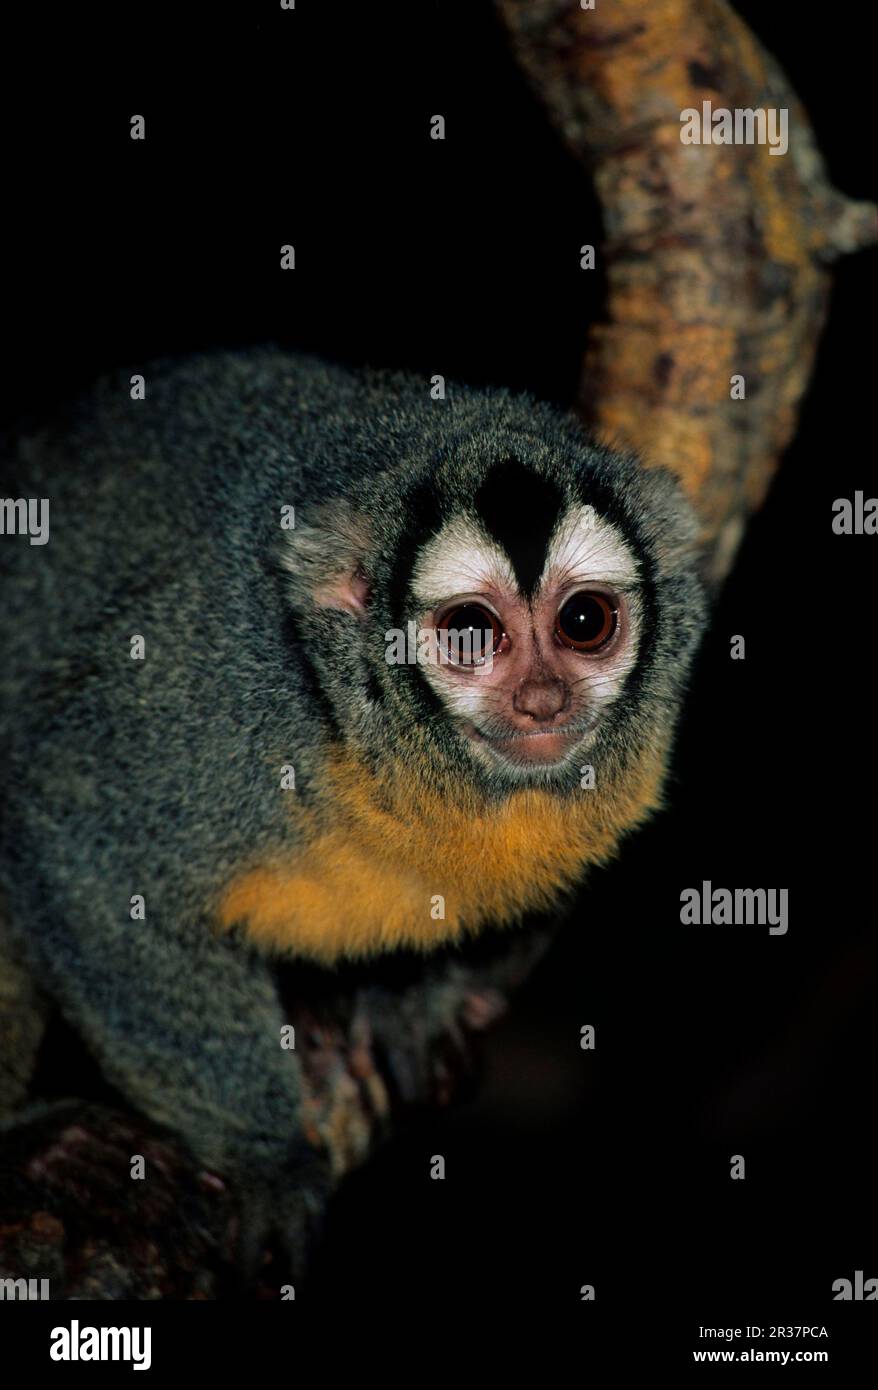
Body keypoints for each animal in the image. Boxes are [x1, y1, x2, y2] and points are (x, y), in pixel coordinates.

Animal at [0, 348, 706, 1273]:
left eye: (584, 620)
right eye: (473, 633)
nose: (543, 699)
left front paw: (412, 1004)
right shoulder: (218, 707)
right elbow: (77, 839)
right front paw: (268, 1158)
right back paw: (35, 1145)